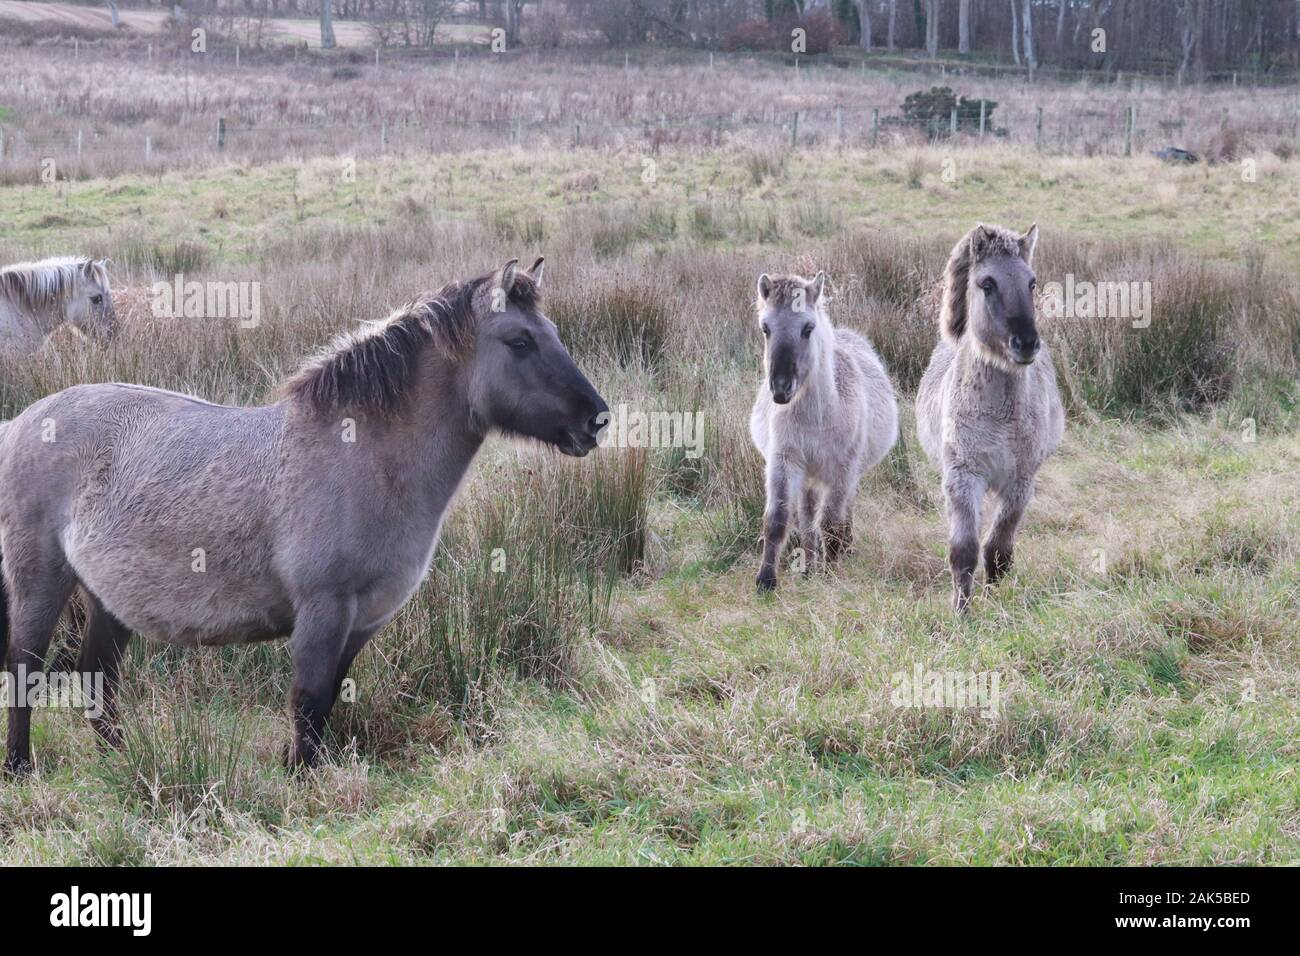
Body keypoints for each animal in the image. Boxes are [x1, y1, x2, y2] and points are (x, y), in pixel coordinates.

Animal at [0, 257, 608, 773]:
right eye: (520, 341)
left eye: (553, 334)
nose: (597, 420)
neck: (364, 457)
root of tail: (23, 421)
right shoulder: (323, 608)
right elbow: (309, 702)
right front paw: (301, 785)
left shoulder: (363, 620)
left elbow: (329, 699)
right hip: (41, 582)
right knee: (25, 667)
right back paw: (21, 767)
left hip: (108, 596)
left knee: (97, 676)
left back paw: (122, 763)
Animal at [749, 271, 899, 591]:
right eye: (766, 328)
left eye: (808, 328)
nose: (780, 389)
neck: (816, 416)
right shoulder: (784, 462)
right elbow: (778, 520)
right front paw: (766, 580)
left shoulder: (842, 470)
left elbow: (831, 523)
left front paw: (831, 574)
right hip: (808, 477)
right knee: (807, 519)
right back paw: (809, 564)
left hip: (847, 474)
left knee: (843, 514)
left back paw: (845, 550)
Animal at [915, 224, 1065, 613]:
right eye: (987, 283)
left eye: (1031, 282)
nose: (1025, 343)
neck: (1000, 415)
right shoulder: (964, 478)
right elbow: (964, 551)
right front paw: (962, 613)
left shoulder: (1019, 484)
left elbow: (997, 552)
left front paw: (995, 603)